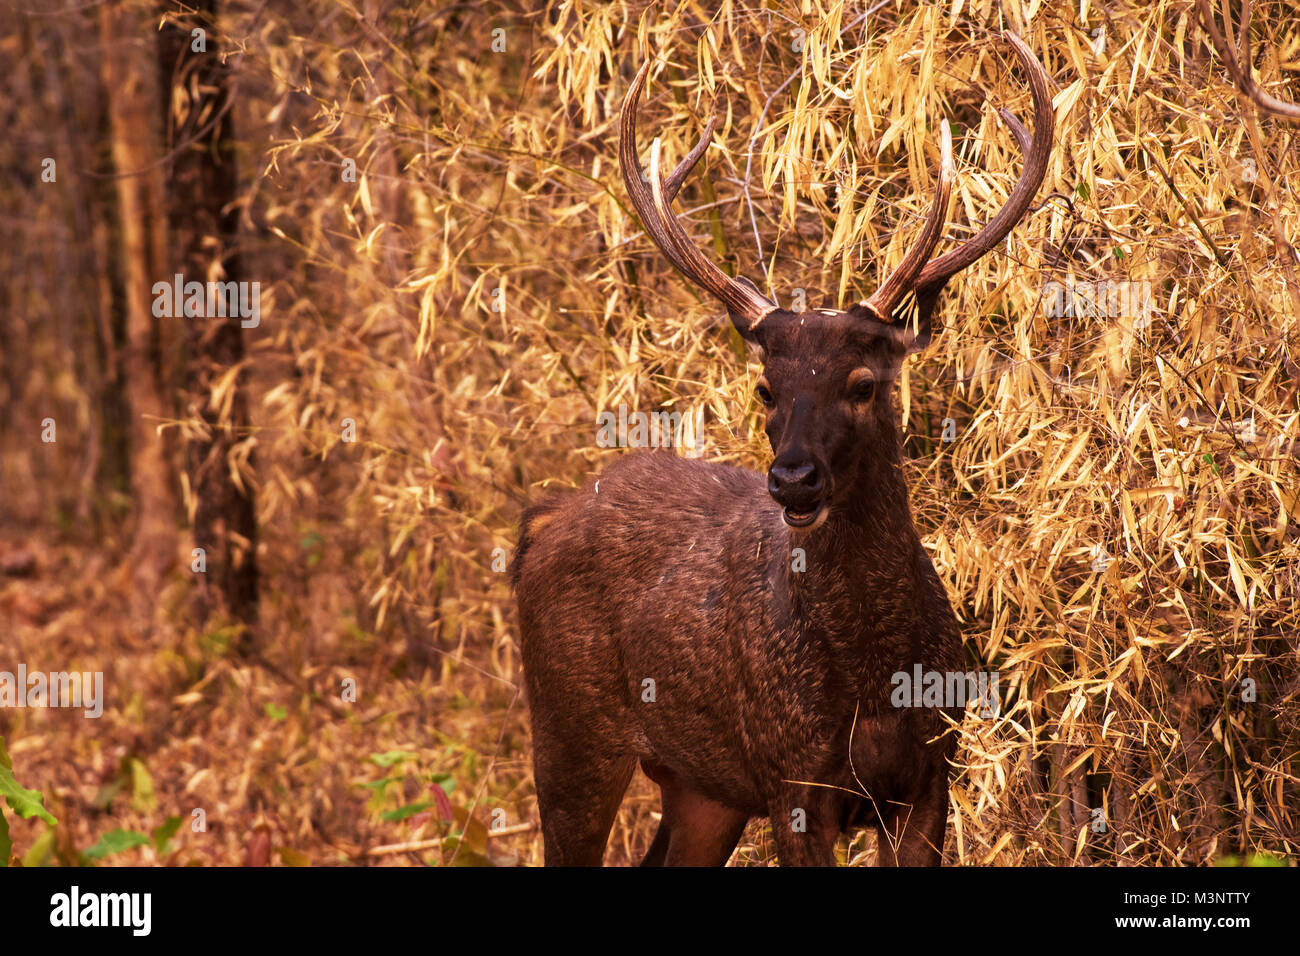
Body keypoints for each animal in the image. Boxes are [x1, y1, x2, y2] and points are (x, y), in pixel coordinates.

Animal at [512, 31, 1052, 866]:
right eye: (767, 388)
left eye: (864, 383)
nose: (793, 480)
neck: (874, 676)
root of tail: (547, 520)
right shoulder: (790, 777)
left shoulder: (933, 771)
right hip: (570, 732)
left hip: (702, 787)